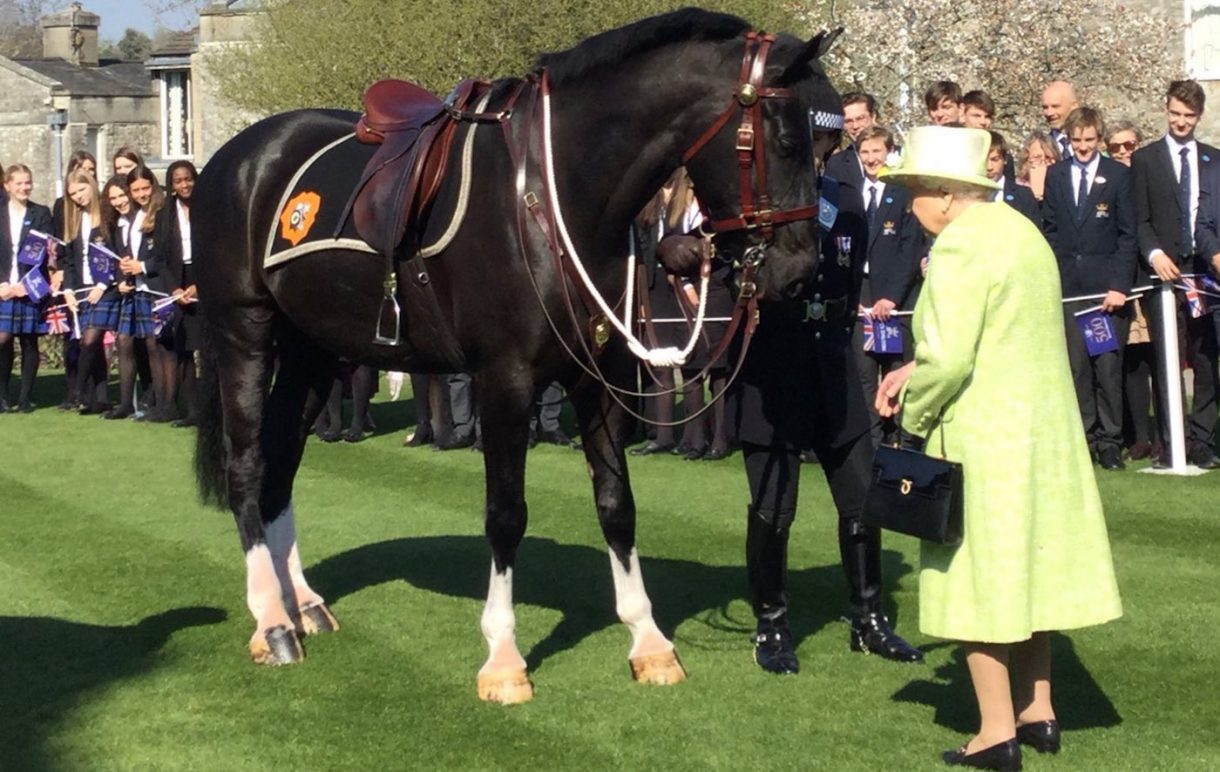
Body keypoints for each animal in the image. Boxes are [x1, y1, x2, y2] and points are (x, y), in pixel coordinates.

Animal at [192, 8, 844, 704]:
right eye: (787, 140)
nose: (799, 272)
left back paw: (303, 604)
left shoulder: (600, 379)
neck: (556, 202)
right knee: (248, 466)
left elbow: (617, 505)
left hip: (315, 348)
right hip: (243, 330)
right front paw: (503, 658)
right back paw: (271, 622)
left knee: (283, 462)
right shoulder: (503, 379)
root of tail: (237, 155)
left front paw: (648, 642)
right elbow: (506, 515)